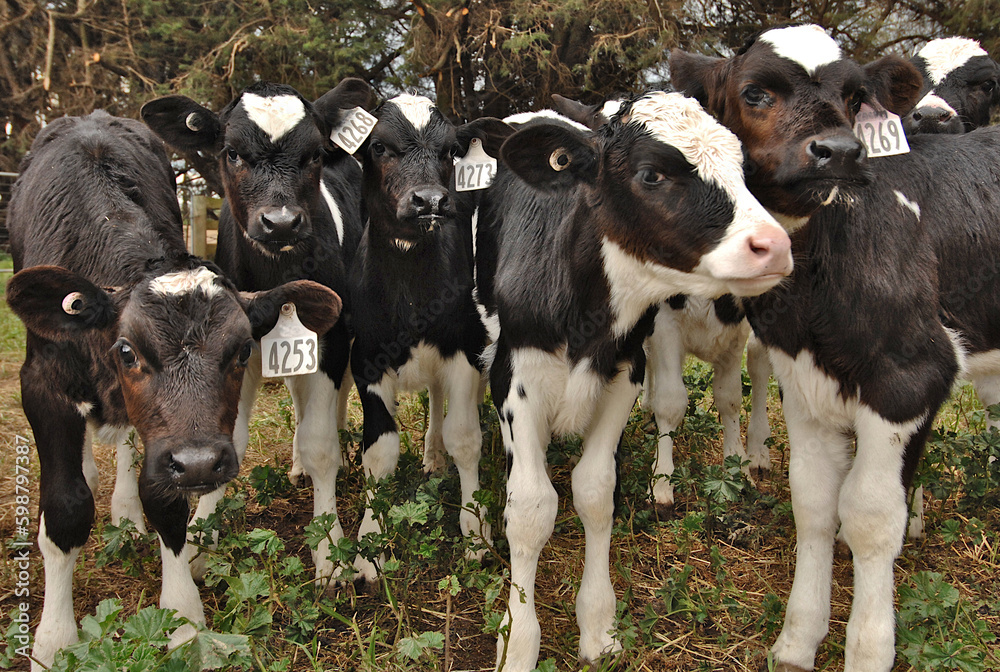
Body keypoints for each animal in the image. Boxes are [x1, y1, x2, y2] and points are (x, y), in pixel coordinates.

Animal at [4, 110, 341, 671]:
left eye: (242, 350)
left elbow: (163, 500)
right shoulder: (42, 386)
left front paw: (184, 622)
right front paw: (53, 640)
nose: (201, 463)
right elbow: (67, 508)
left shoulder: (170, 443)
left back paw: (123, 508)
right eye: (126, 351)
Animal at [141, 78, 373, 583]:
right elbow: (231, 438)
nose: (281, 222)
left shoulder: (330, 336)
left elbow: (321, 442)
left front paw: (329, 552)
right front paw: (198, 544)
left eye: (313, 154)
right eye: (231, 153)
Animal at [347, 94, 496, 581]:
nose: (430, 200)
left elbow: (465, 437)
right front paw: (367, 551)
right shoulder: (366, 358)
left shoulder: (465, 347)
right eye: (378, 146)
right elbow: (378, 453)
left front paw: (476, 534)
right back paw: (432, 454)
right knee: (433, 395)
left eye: (450, 150)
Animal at [470, 92, 792, 671]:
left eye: (743, 168)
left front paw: (598, 627)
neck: (584, 312)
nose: (773, 245)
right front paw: (517, 643)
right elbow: (529, 509)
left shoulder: (626, 372)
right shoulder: (514, 378)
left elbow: (596, 491)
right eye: (651, 174)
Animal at [670, 23, 1000, 672]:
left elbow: (870, 514)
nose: (841, 151)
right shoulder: (804, 381)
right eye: (755, 92)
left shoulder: (909, 375)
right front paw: (798, 639)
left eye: (854, 98)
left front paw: (868, 648)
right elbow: (815, 503)